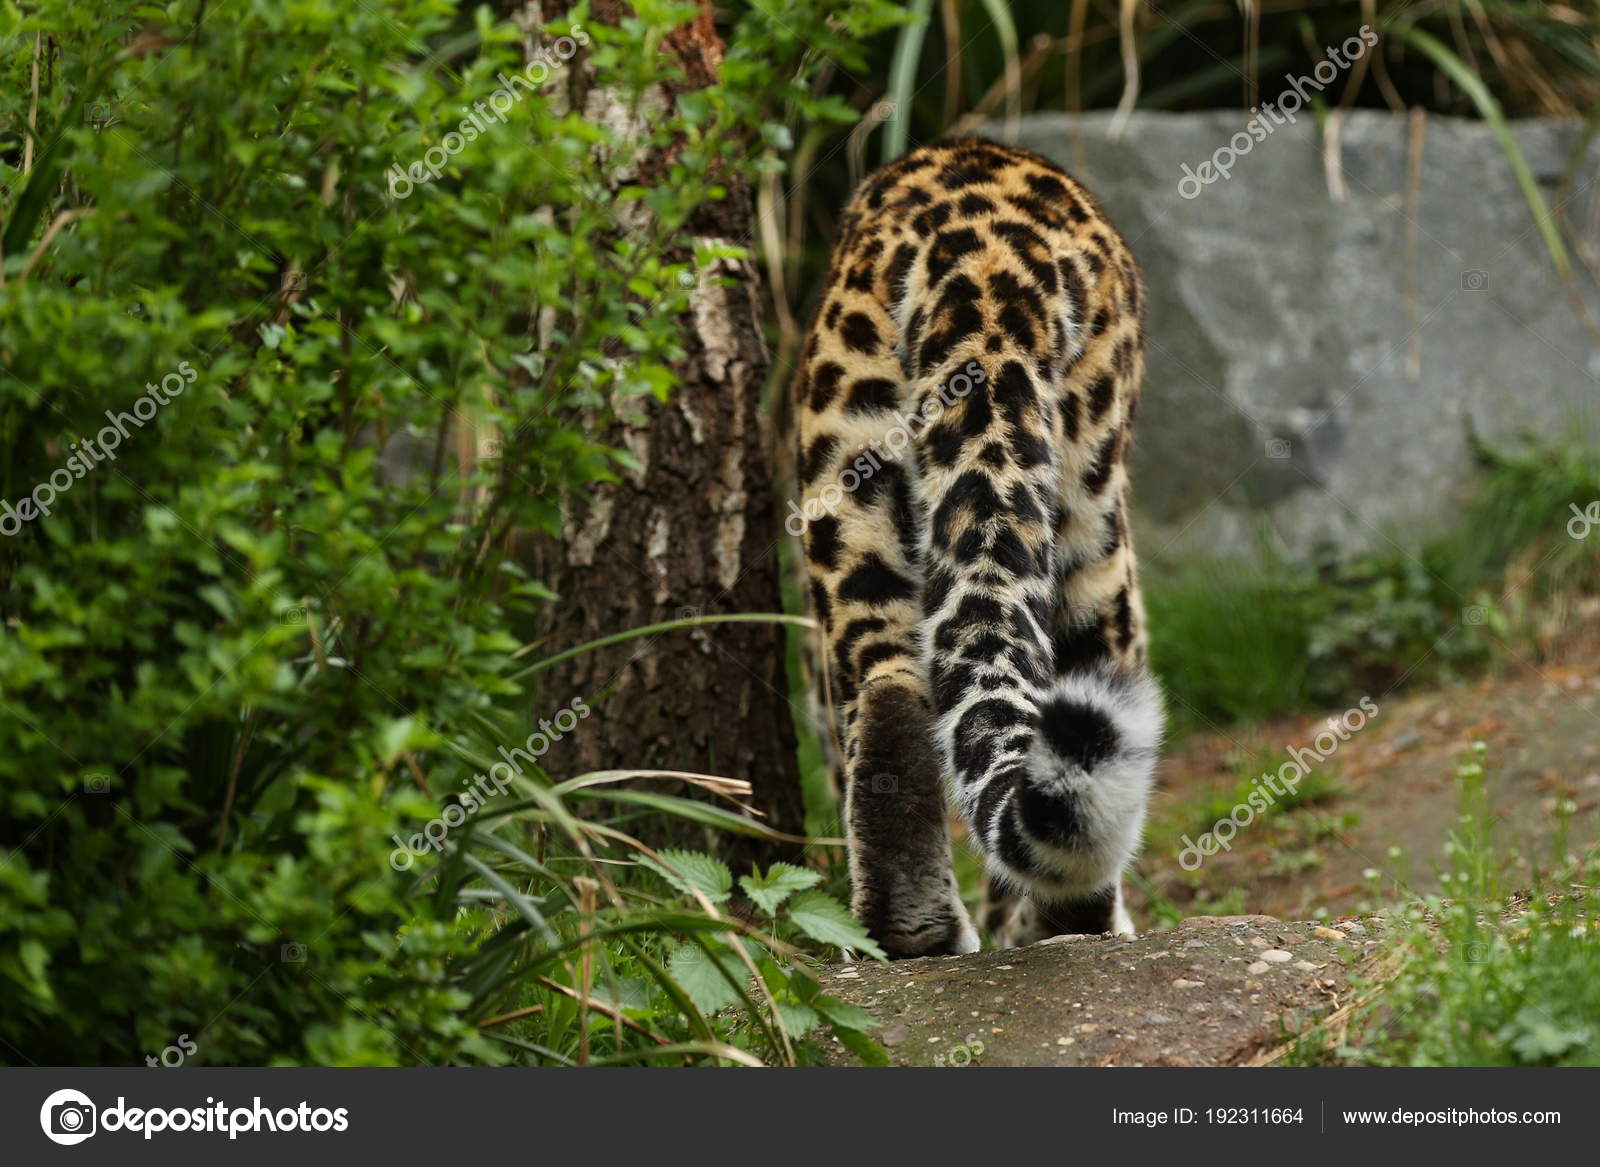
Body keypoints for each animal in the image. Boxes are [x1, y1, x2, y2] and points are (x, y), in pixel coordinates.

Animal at [791, 137, 1163, 958]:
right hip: (1093, 527)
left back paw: (914, 930)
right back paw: (1075, 922)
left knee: (888, 685)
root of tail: (986, 262)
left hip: (848, 481)